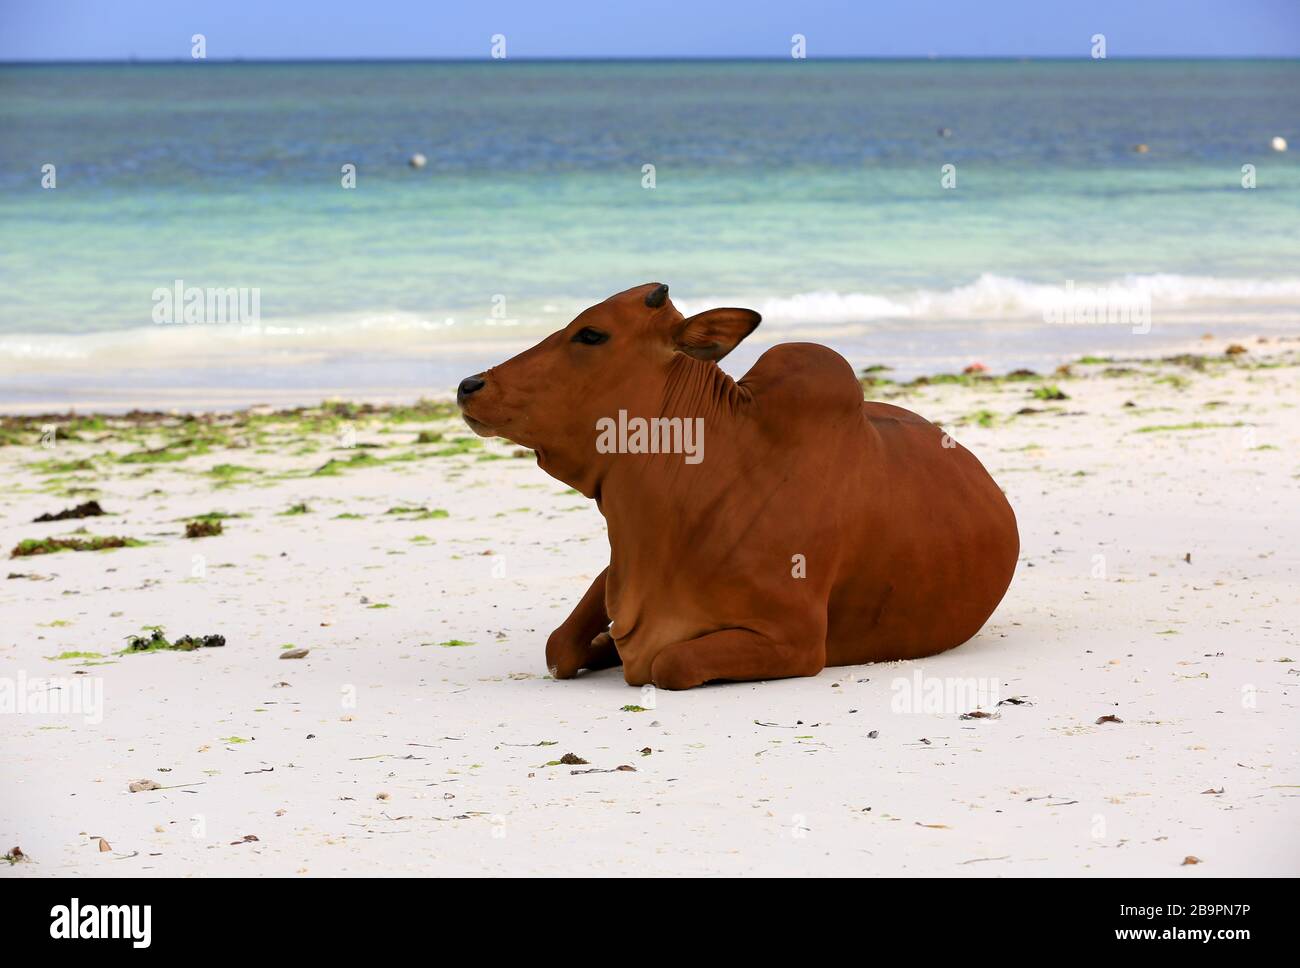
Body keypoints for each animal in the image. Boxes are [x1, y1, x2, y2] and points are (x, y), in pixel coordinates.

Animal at [457, 283, 1019, 690]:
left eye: (591, 334)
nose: (469, 385)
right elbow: (560, 647)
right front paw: (605, 649)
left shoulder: (796, 640)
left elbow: (670, 664)